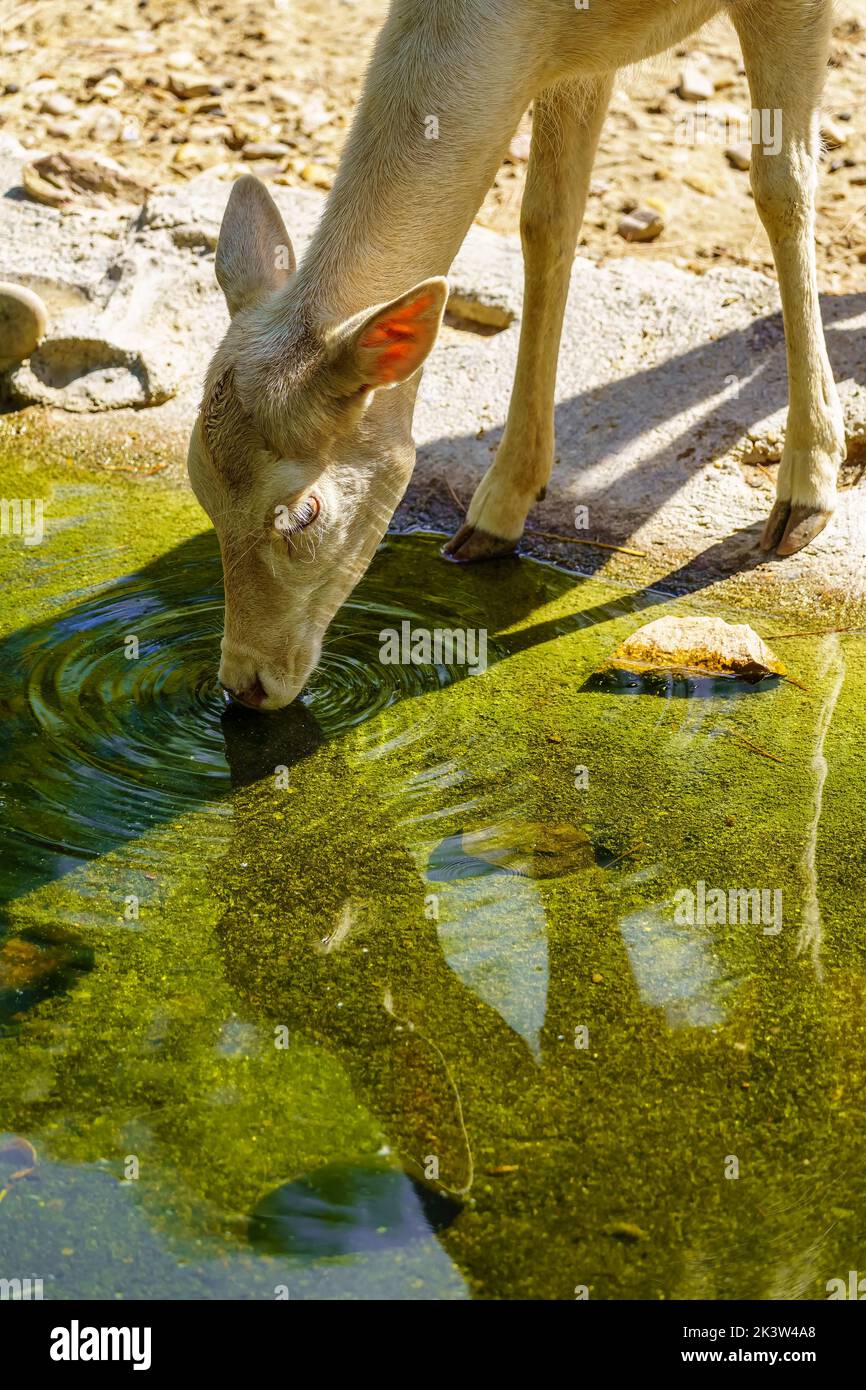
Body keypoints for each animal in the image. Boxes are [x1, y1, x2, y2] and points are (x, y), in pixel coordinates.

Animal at [188, 0, 846, 710]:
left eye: (304, 514)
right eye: (199, 488)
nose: (246, 684)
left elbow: (783, 185)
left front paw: (806, 496)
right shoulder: (575, 56)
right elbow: (545, 220)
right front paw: (498, 510)